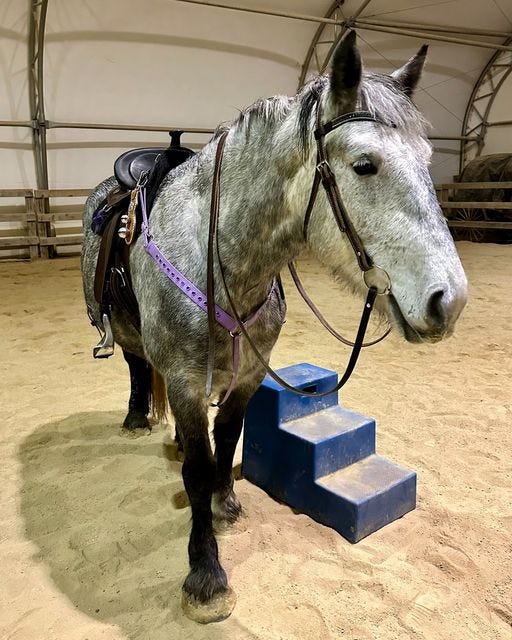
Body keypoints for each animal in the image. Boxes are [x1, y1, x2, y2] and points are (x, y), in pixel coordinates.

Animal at [81, 31, 468, 623]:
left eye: (428, 160)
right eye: (364, 165)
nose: (450, 300)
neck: (222, 255)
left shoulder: (246, 378)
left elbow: (225, 439)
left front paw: (225, 503)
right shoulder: (188, 382)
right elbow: (198, 470)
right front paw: (206, 576)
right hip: (130, 338)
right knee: (136, 364)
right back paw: (135, 418)